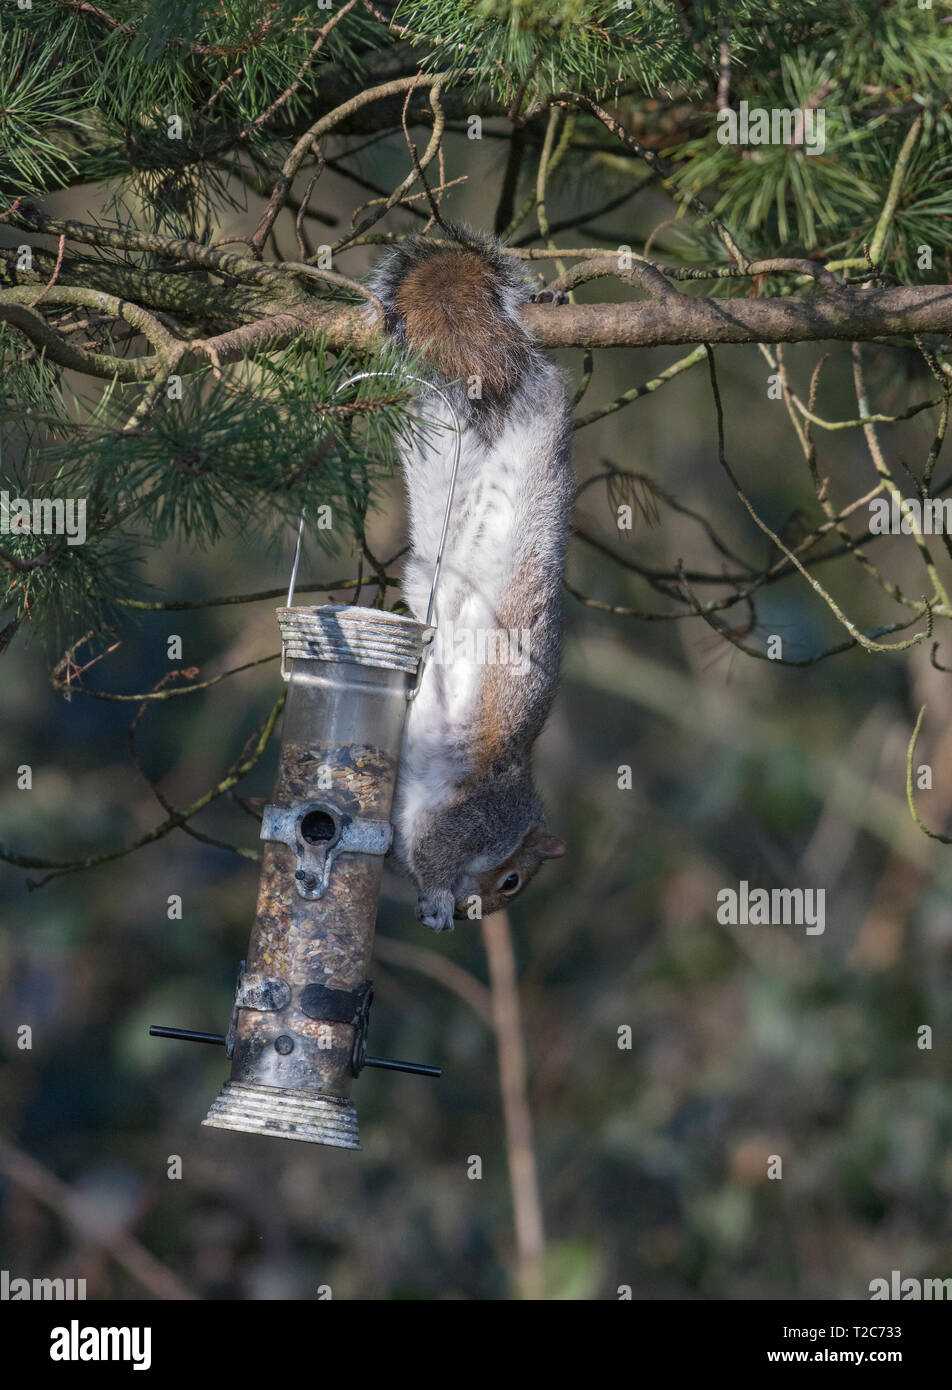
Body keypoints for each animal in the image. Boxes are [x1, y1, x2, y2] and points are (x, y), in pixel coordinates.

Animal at [368, 227, 572, 932]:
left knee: (446, 409)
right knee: (546, 387)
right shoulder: (470, 820)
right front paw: (433, 902)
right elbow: (433, 851)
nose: (471, 914)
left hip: (443, 518)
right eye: (511, 880)